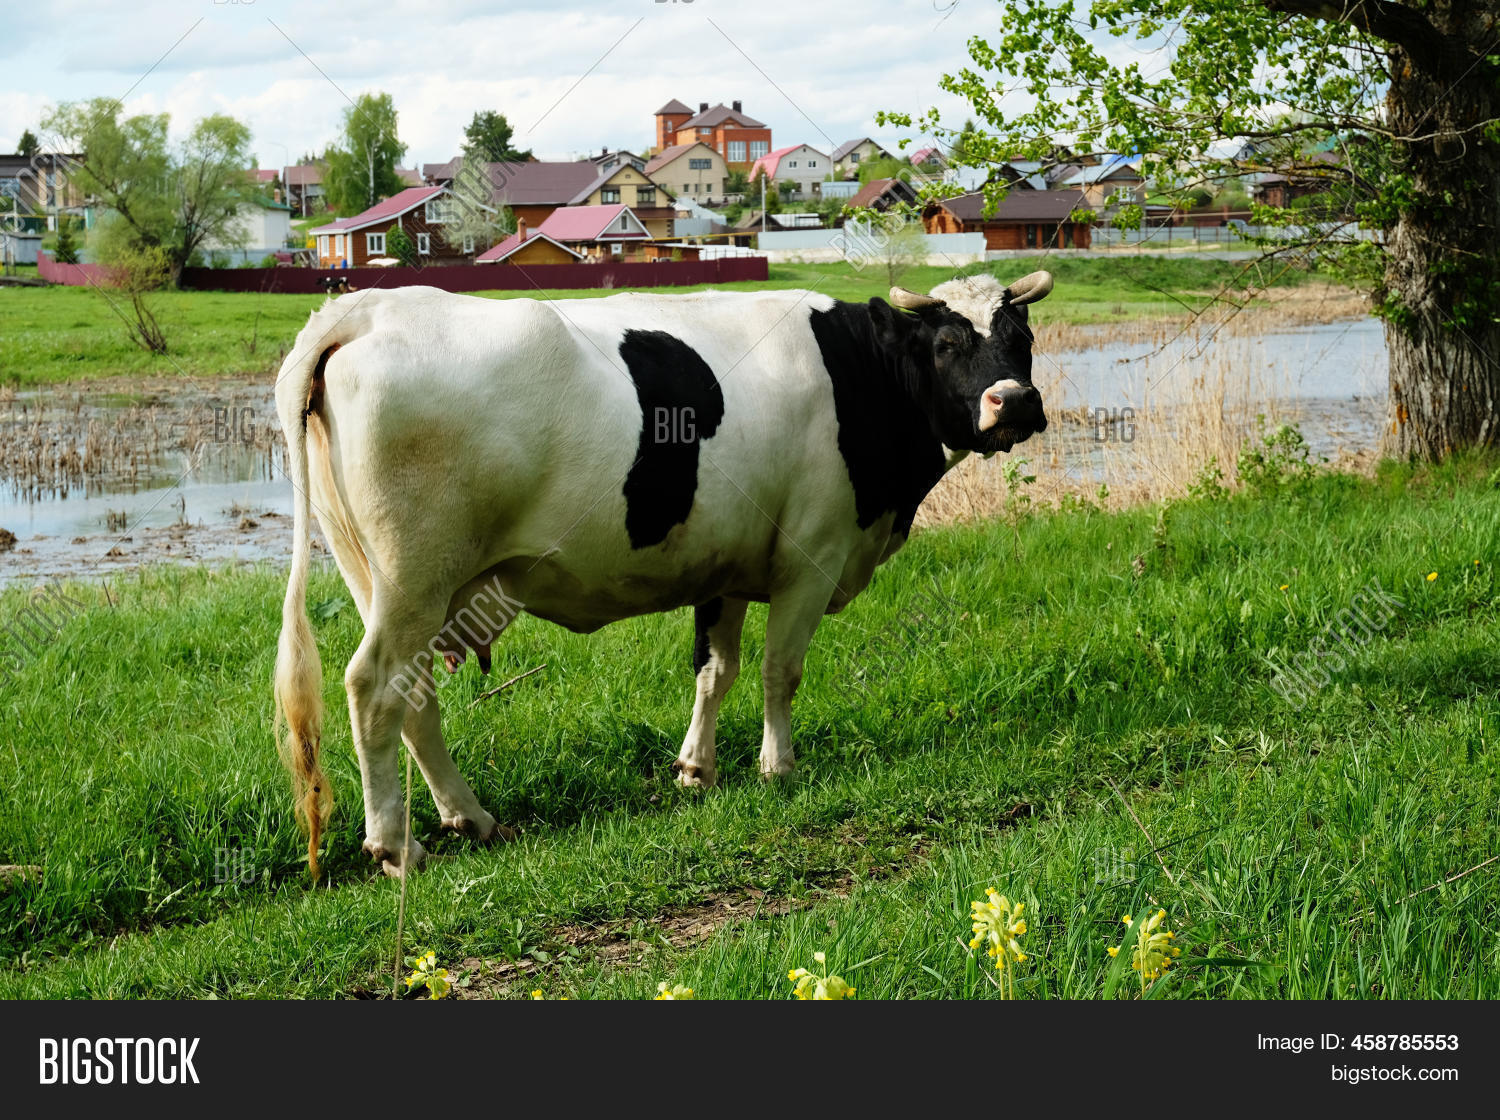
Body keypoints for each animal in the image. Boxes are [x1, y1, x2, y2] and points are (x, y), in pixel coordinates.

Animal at [272, 271, 1053, 877]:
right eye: (948, 344)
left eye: (1023, 339)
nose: (1014, 401)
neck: (859, 376)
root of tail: (369, 307)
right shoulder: (812, 554)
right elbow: (779, 671)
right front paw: (778, 767)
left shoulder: (729, 565)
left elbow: (716, 670)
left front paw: (696, 770)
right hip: (414, 580)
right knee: (375, 690)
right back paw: (396, 846)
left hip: (387, 583)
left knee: (414, 697)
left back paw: (470, 817)